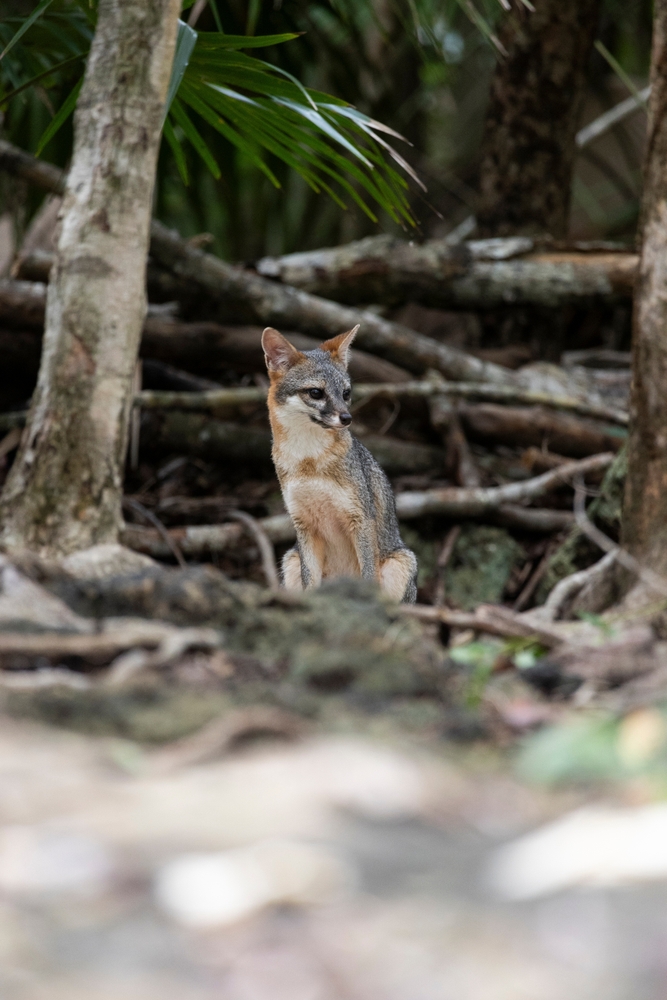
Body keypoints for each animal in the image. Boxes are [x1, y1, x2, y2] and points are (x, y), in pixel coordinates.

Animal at [261, 324, 418, 603]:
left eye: (346, 393)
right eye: (316, 393)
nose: (347, 418)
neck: (309, 460)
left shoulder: (361, 519)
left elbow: (368, 576)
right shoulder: (304, 524)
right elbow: (310, 582)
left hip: (401, 561)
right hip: (291, 560)